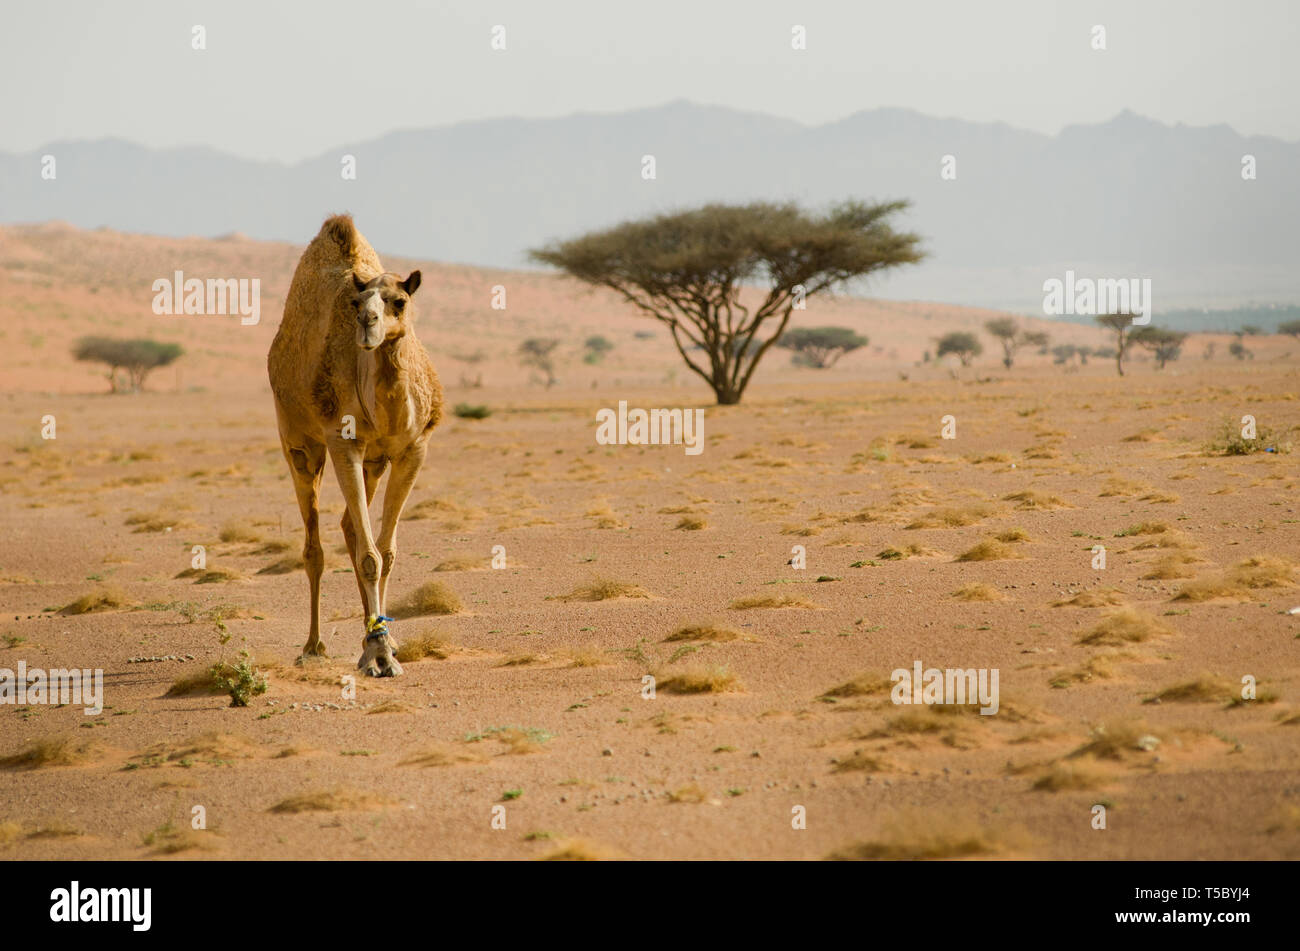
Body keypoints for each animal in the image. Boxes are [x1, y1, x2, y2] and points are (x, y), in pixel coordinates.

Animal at [268, 214, 443, 676]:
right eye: (356, 302)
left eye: (400, 300)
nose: (367, 321)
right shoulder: (342, 441)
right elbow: (370, 557)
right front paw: (378, 654)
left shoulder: (413, 448)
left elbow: (386, 552)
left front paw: (385, 643)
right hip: (298, 442)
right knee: (314, 546)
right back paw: (314, 645)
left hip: (375, 461)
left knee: (349, 526)